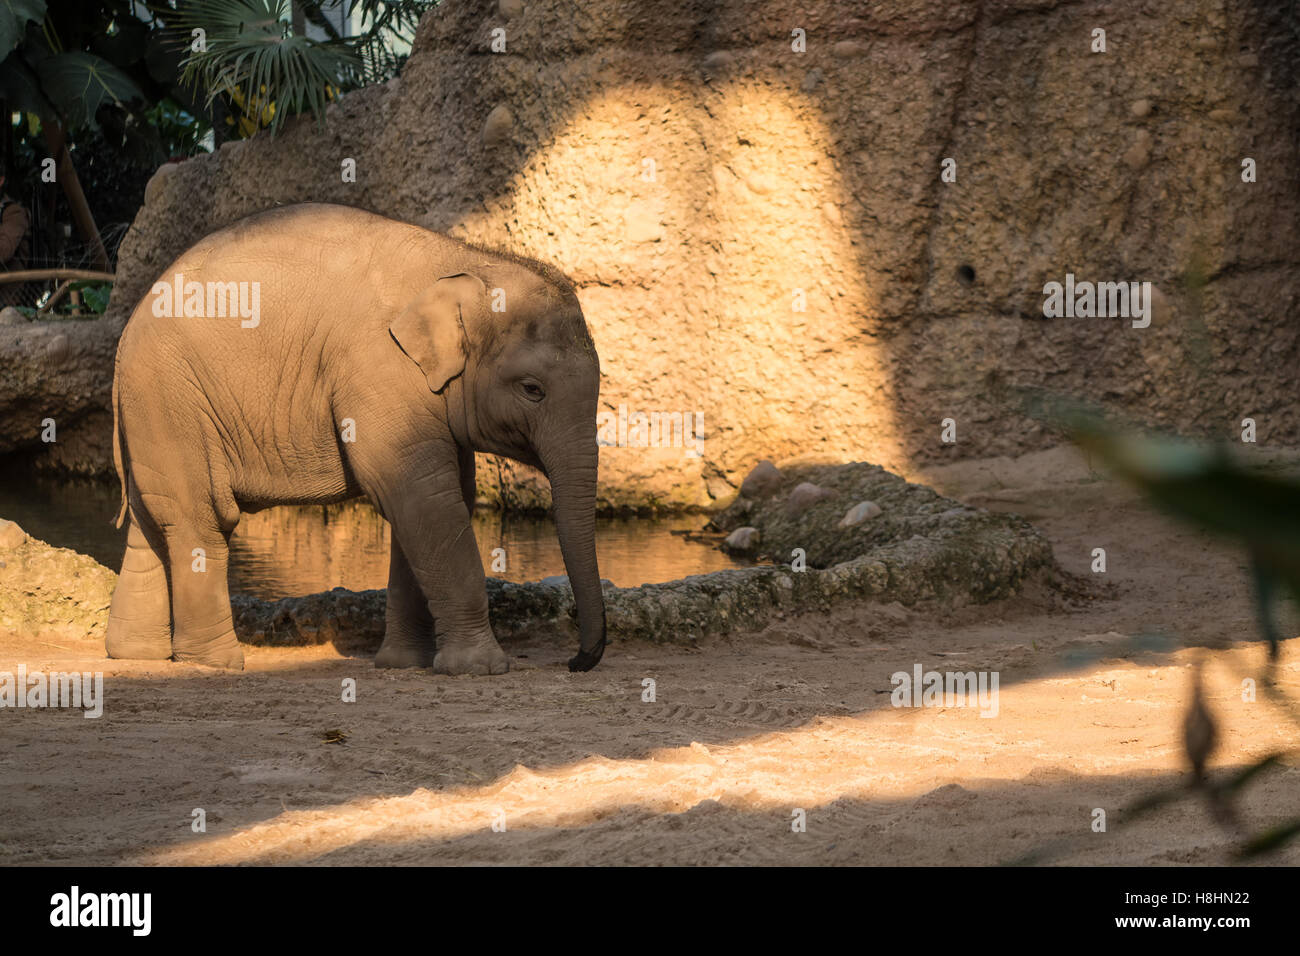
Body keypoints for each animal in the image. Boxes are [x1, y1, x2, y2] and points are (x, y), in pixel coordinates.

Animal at [104, 202, 607, 675]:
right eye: (532, 389)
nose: (575, 661)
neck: (466, 260)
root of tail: (125, 332)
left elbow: (437, 499)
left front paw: (404, 663)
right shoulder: (378, 369)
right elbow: (425, 496)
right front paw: (479, 669)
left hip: (152, 412)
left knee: (151, 522)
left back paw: (137, 654)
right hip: (172, 397)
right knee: (202, 518)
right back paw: (214, 663)